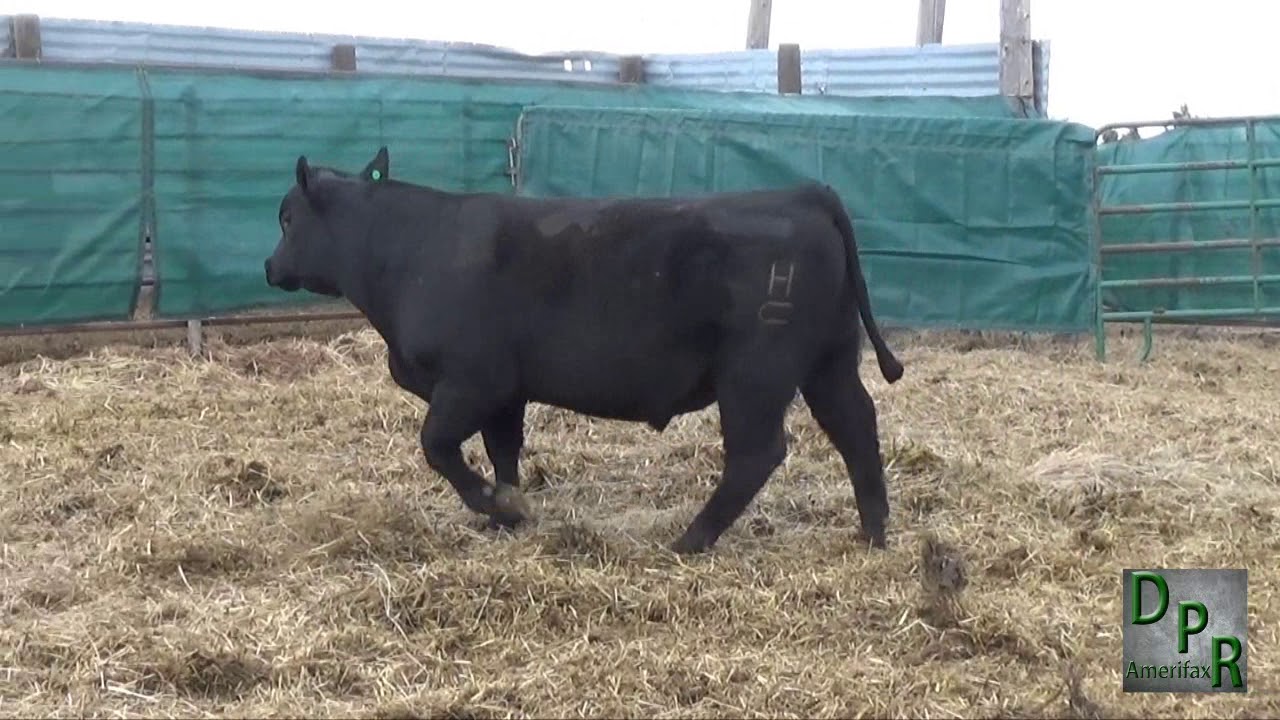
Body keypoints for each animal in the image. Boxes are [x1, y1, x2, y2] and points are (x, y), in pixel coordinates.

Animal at [264, 146, 905, 555]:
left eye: (287, 218)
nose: (270, 266)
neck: (408, 251)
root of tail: (801, 192)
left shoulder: (473, 381)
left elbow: (438, 446)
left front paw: (493, 506)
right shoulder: (506, 393)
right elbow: (504, 451)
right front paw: (510, 512)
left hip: (755, 374)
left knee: (757, 454)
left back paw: (690, 540)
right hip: (827, 359)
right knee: (855, 424)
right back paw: (871, 533)